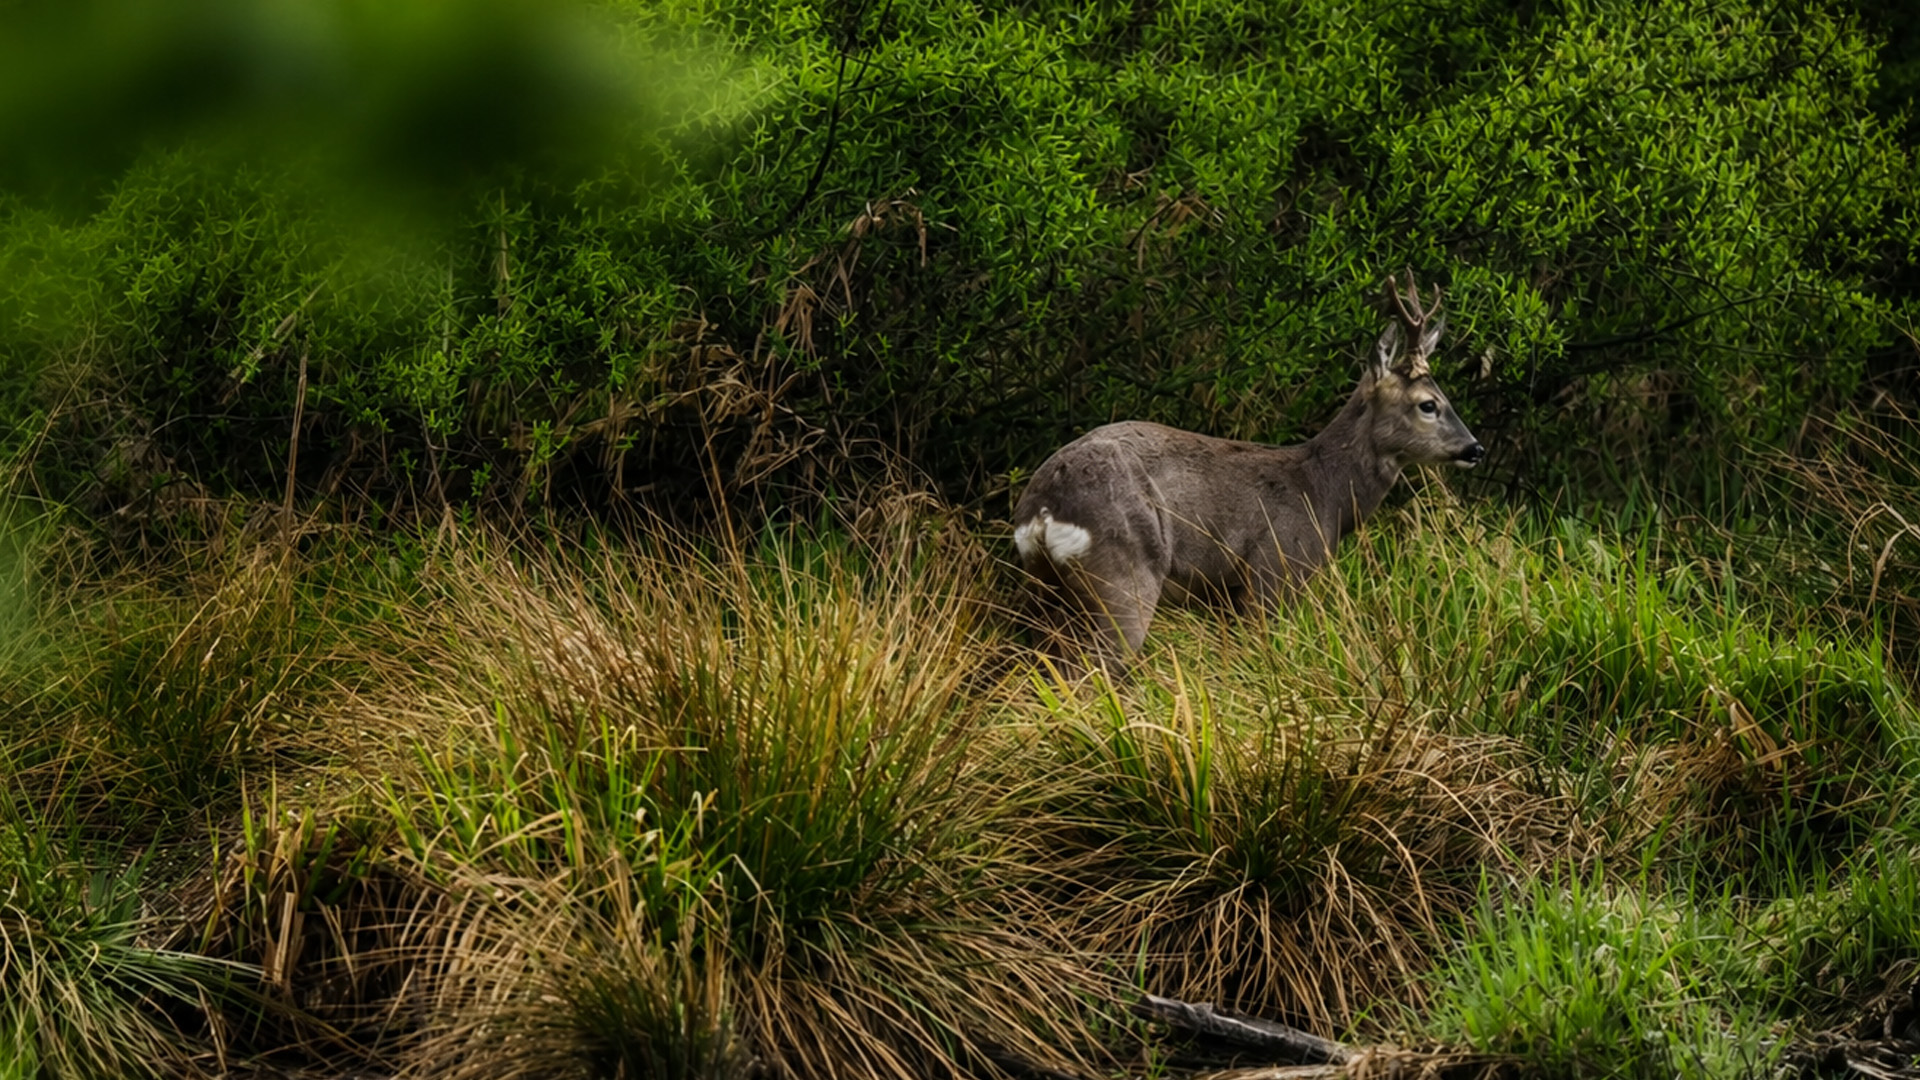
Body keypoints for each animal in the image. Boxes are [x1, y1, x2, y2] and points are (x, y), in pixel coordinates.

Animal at [1011, 271, 1484, 676]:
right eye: (1428, 404)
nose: (1475, 449)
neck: (1323, 495)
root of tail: (1045, 505)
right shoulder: (1275, 571)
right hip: (1125, 571)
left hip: (1041, 589)